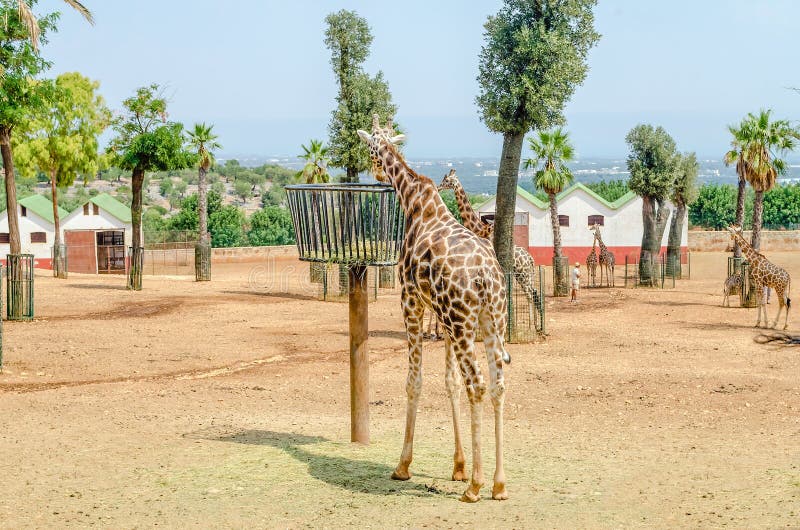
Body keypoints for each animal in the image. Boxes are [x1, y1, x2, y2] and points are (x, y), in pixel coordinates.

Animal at [358, 115, 509, 502]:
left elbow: (415, 381)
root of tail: (486, 277)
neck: (413, 201)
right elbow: (449, 381)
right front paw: (458, 466)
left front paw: (403, 465)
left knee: (478, 385)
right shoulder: (442, 317)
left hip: (463, 322)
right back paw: (499, 483)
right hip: (489, 322)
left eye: (370, 147)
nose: (374, 170)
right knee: (497, 385)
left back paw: (476, 486)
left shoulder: (411, 301)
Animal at [438, 169, 540, 327]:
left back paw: (530, 325)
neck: (479, 228)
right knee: (534, 292)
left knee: (529, 293)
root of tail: (530, 259)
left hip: (522, 273)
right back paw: (536, 324)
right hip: (526, 274)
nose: (438, 187)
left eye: (447, 180)